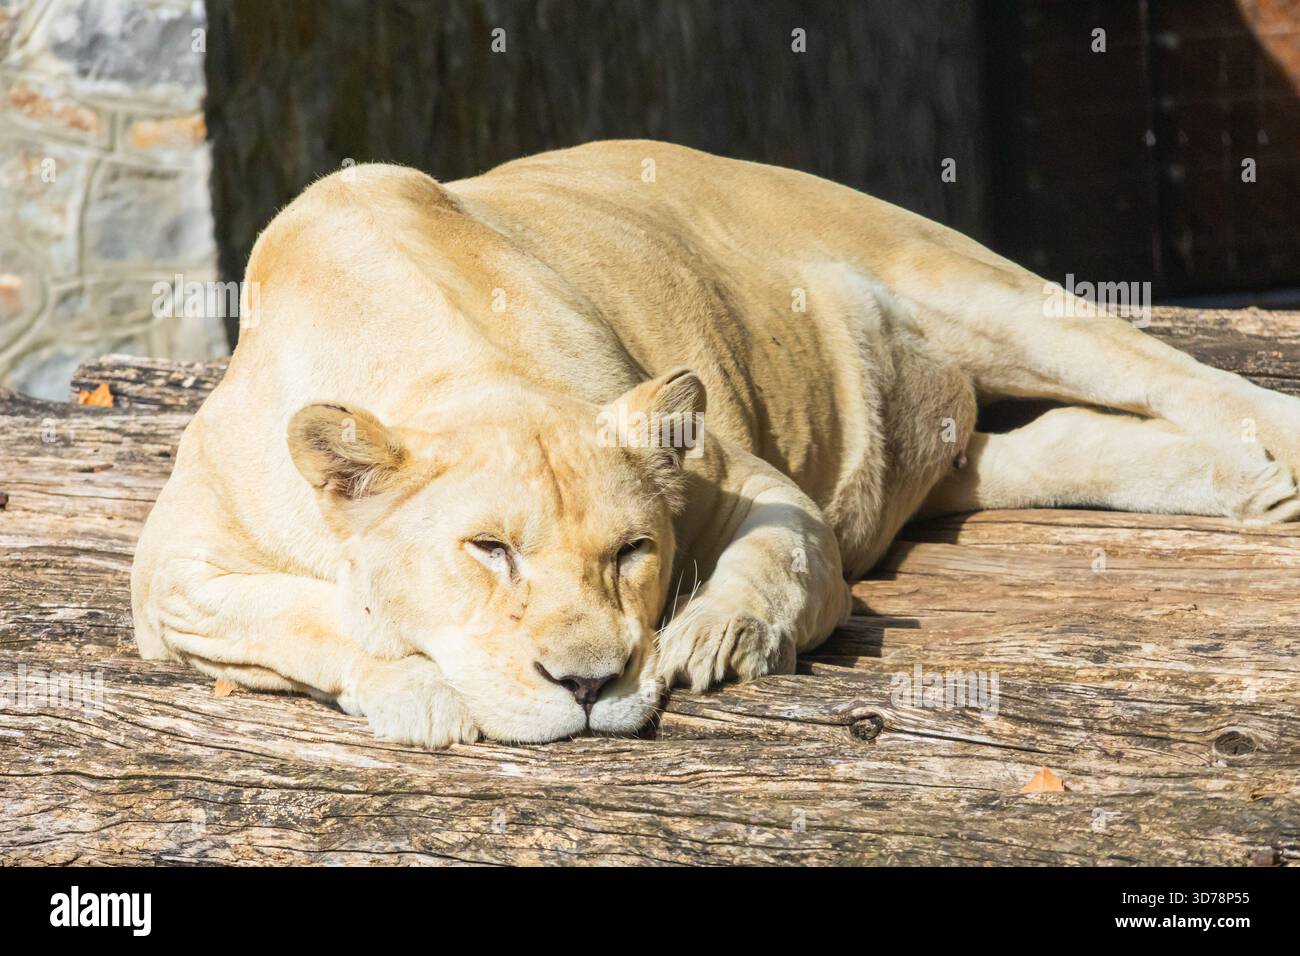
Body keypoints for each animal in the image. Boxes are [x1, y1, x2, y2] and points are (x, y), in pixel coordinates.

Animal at [132, 140, 1300, 745]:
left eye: (632, 553)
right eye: (489, 551)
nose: (588, 684)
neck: (450, 356)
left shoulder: (743, 477)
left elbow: (780, 557)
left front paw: (712, 638)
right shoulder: (170, 579)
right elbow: (308, 614)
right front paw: (428, 689)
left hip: (962, 280)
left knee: (1167, 372)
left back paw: (1276, 458)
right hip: (967, 447)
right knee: (1066, 439)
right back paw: (1247, 487)